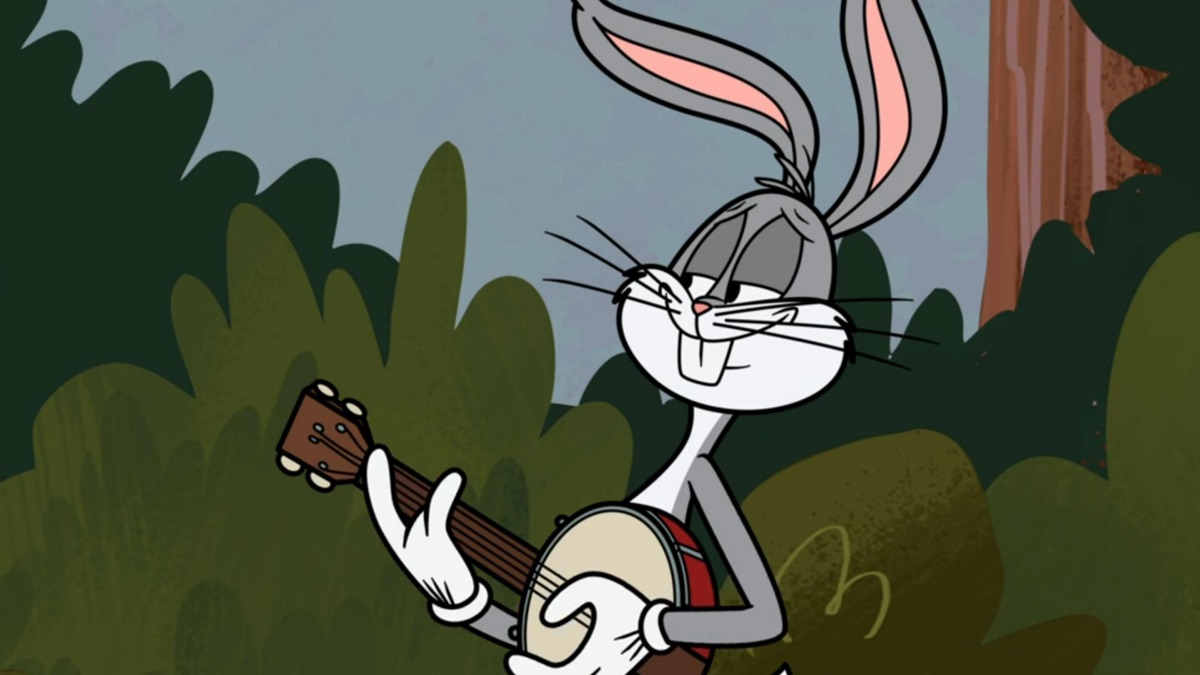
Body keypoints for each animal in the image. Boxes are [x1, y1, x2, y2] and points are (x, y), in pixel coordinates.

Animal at [364, 1, 947, 674]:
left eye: (753, 289)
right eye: (697, 273)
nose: (702, 302)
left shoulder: (711, 485)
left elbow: (758, 614)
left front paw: (617, 620)